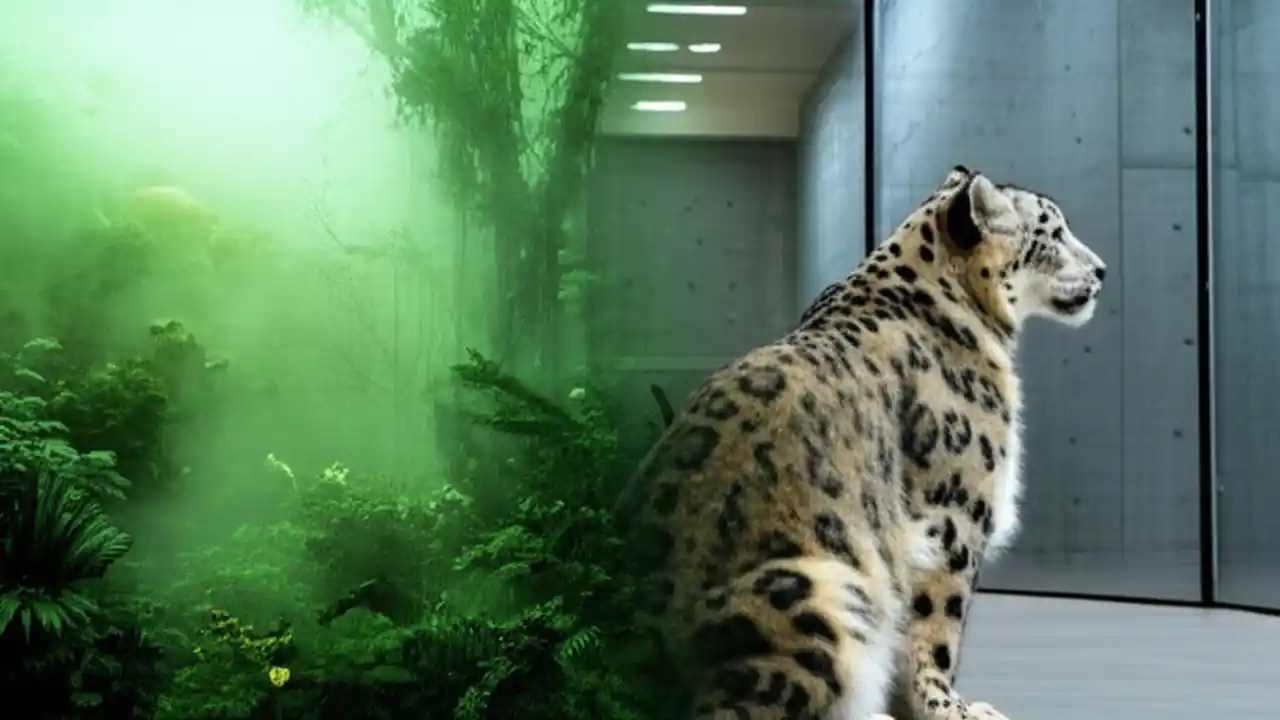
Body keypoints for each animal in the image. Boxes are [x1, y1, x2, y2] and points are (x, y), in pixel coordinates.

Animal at [614, 166, 1107, 720]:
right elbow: (938, 626)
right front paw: (949, 708)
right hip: (817, 589)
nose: (1102, 270)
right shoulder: (956, 518)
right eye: (1054, 232)